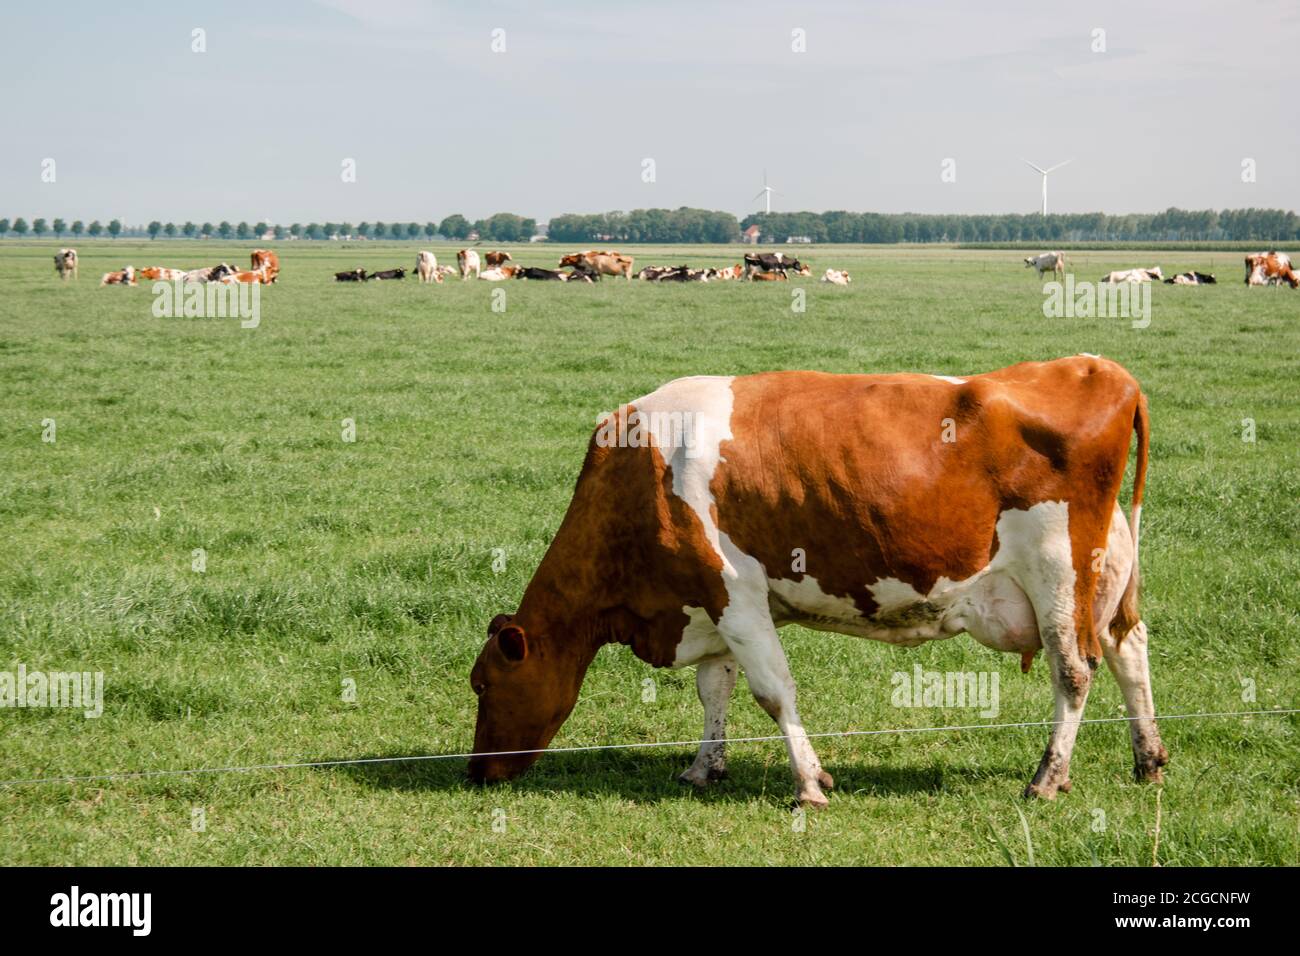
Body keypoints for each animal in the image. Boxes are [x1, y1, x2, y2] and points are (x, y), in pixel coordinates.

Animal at [467, 356, 1167, 809]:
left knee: (1074, 670)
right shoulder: (709, 599)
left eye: (484, 685)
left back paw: (1047, 778)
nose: (477, 774)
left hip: (1058, 571)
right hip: (1106, 573)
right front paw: (703, 767)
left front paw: (809, 786)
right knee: (1129, 648)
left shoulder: (733, 594)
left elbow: (773, 692)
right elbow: (714, 687)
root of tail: (1099, 367)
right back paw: (1149, 760)